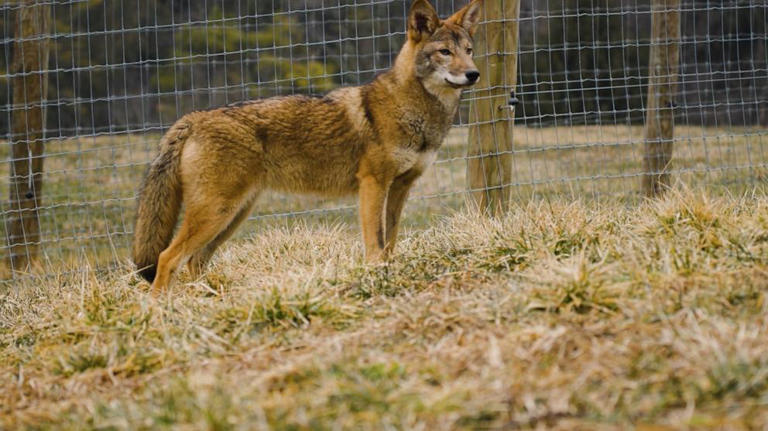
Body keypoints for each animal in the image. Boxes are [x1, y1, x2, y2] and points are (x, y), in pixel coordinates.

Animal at [133, 0, 483, 292]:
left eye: (468, 49)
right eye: (444, 52)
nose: (474, 74)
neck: (412, 110)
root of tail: (193, 117)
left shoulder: (400, 188)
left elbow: (390, 242)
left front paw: (390, 272)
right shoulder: (373, 184)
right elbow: (375, 243)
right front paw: (376, 277)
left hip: (232, 215)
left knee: (194, 261)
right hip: (217, 213)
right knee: (167, 258)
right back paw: (160, 311)